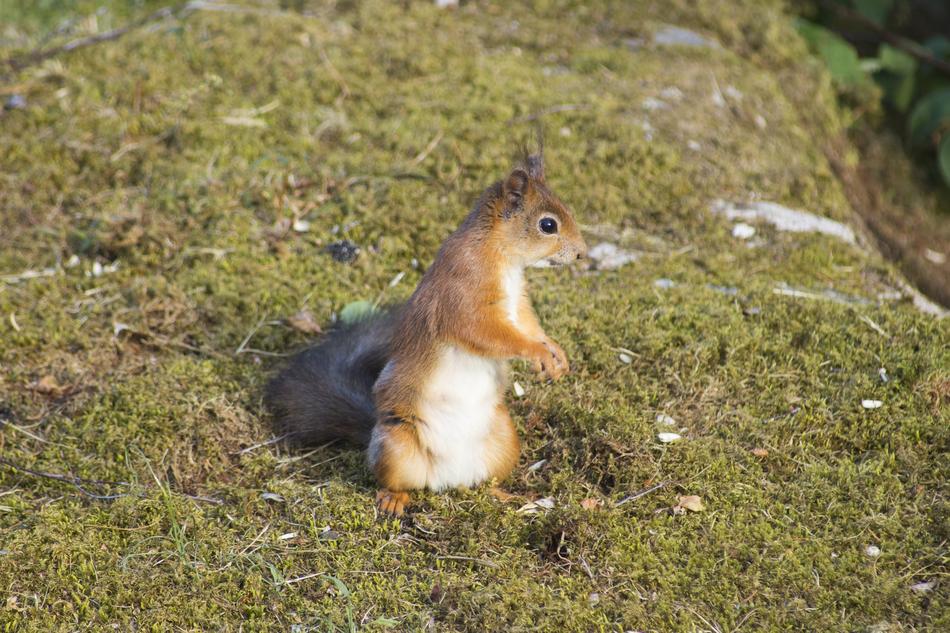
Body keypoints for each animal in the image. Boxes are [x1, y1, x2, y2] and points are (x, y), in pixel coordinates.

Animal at [266, 151, 588, 516]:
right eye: (548, 225)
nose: (582, 252)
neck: (500, 255)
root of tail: (449, 478)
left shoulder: (516, 301)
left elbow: (529, 324)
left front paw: (555, 352)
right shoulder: (461, 295)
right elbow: (489, 334)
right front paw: (537, 352)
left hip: (505, 439)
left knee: (485, 480)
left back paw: (503, 494)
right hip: (396, 446)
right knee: (395, 479)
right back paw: (393, 498)